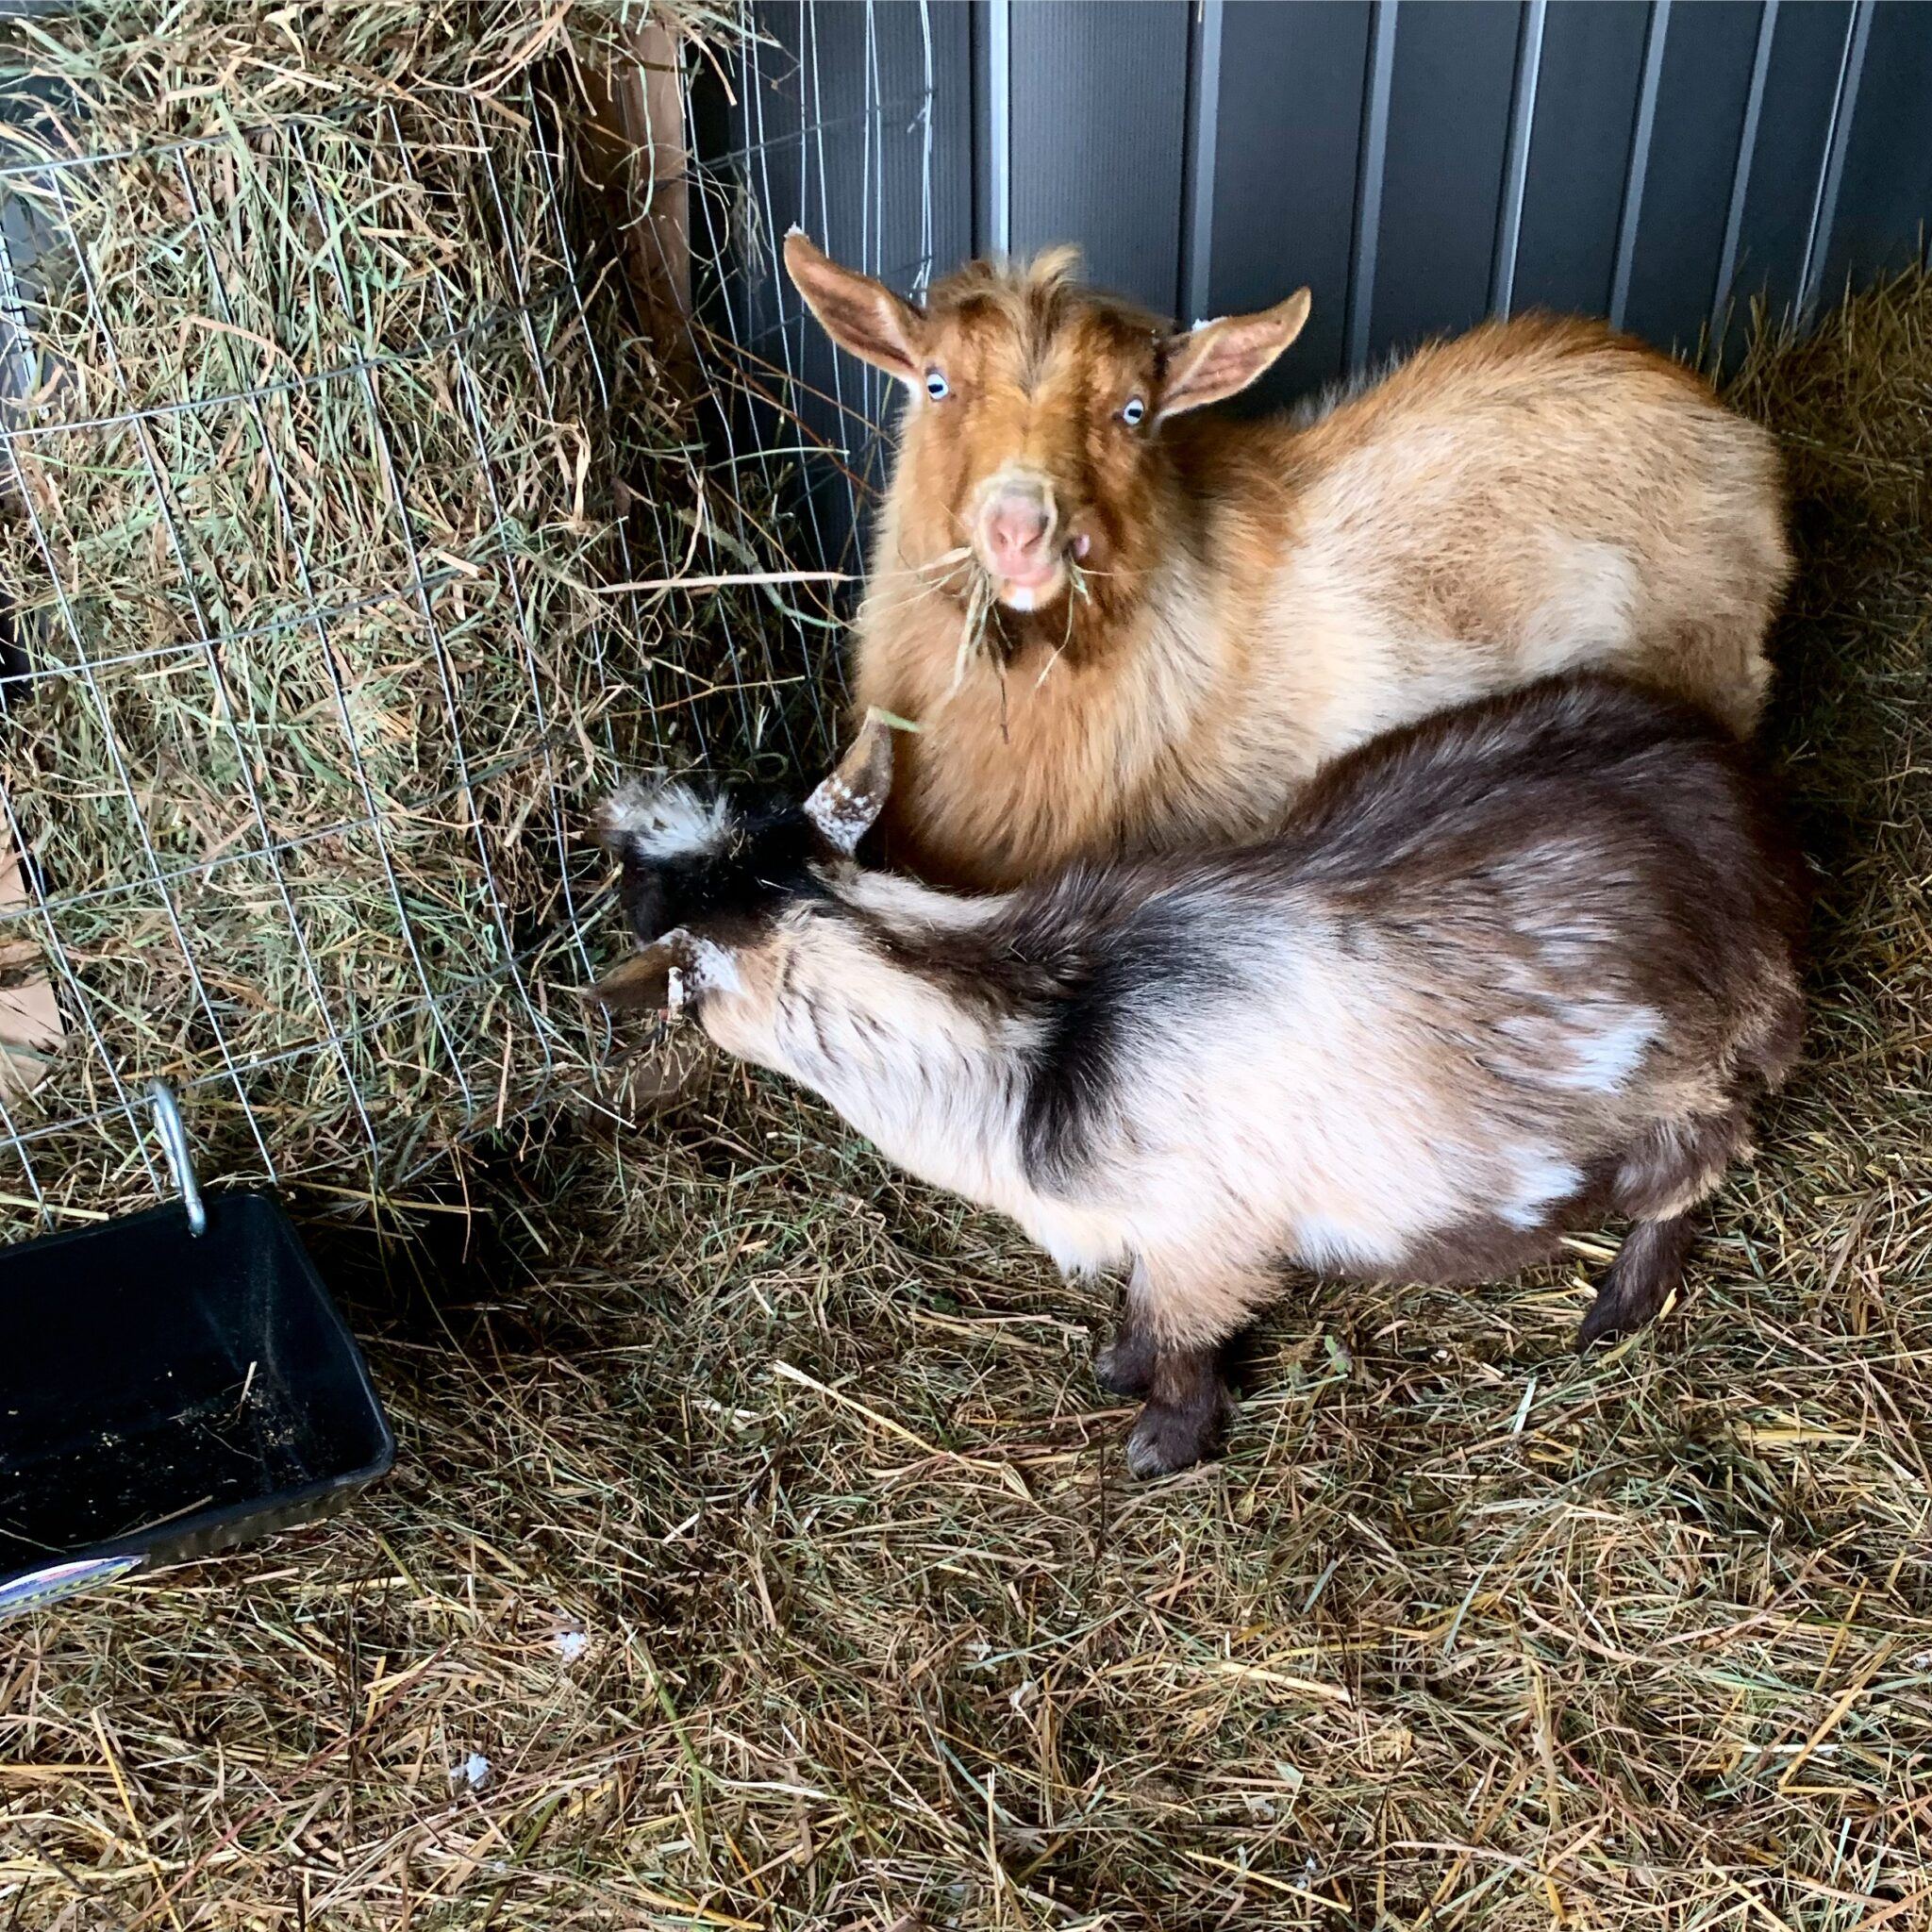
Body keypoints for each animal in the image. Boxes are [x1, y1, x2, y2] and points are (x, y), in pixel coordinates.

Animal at [590, 676, 1805, 1478]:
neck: (1036, 1034)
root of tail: (1739, 794)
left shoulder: (1200, 1236)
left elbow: (1180, 1342)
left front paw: (1159, 1439)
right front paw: (1115, 1367)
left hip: (1694, 1065)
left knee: (1695, 1161)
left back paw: (1620, 1302)